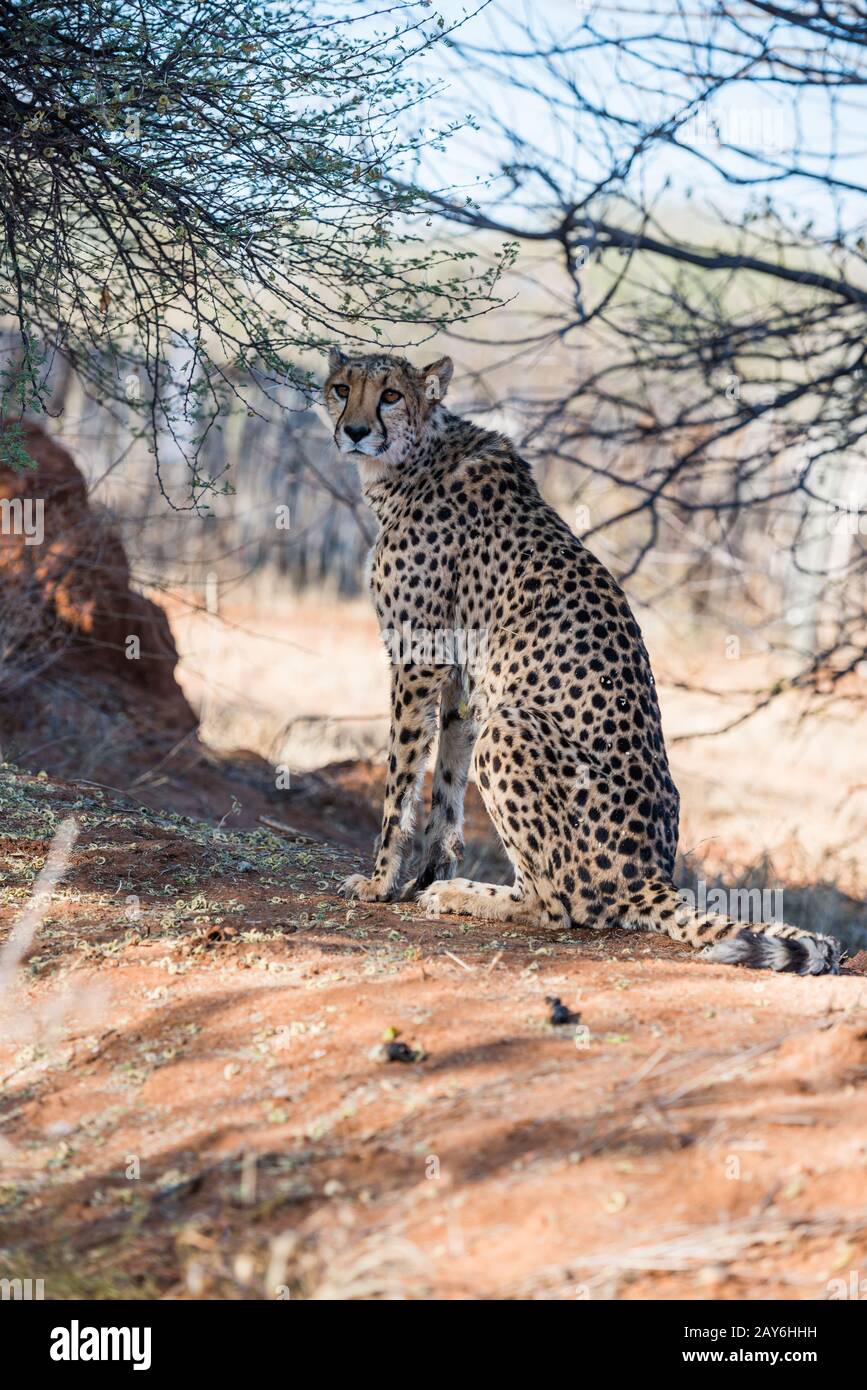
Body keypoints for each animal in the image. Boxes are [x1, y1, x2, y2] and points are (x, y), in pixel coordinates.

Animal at [323, 345, 841, 976]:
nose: (354, 431)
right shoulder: (464, 683)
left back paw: (468, 896)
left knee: (561, 906)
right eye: (341, 388)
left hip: (512, 727)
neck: (414, 458)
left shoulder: (418, 658)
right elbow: (445, 782)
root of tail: (651, 876)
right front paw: (427, 871)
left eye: (391, 395)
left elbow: (400, 780)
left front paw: (380, 883)